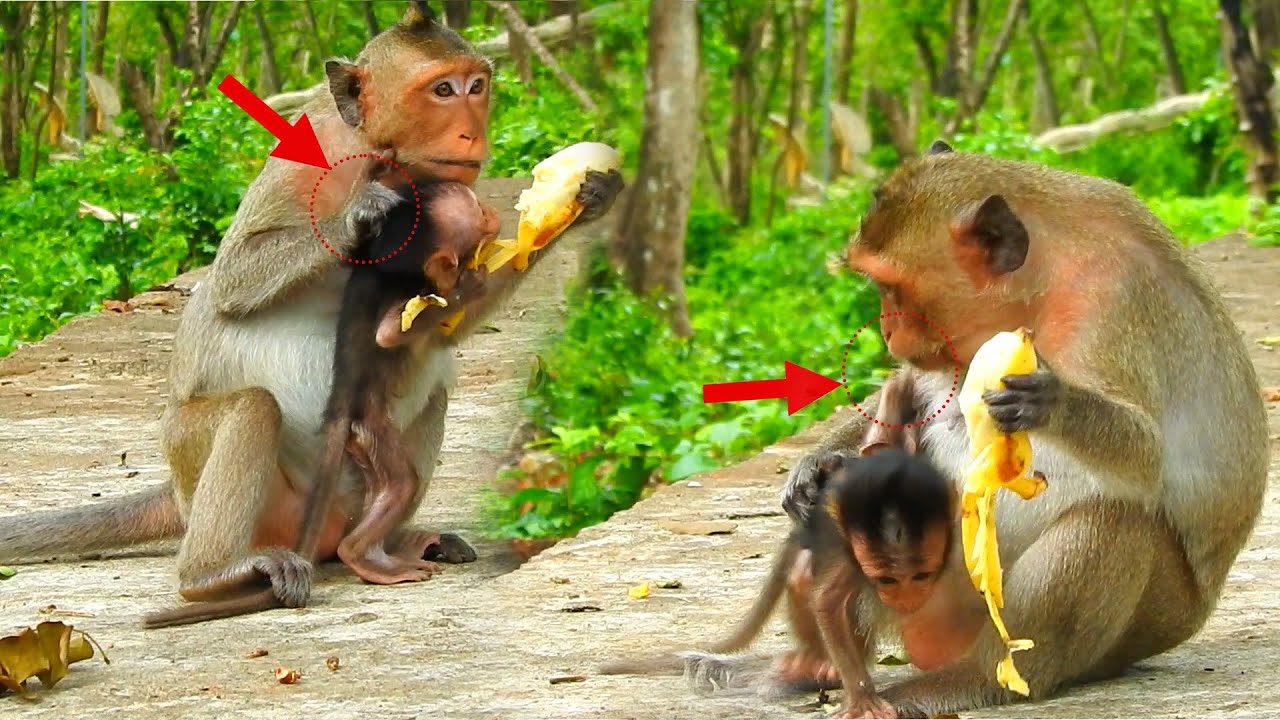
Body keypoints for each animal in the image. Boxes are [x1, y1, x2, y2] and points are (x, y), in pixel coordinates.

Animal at [0, 6, 626, 623]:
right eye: (443, 90)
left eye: (477, 86)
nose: (474, 128)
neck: (376, 148)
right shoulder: (305, 154)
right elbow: (233, 278)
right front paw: (361, 211)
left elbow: (438, 329)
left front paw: (589, 199)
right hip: (222, 478)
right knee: (251, 409)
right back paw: (213, 576)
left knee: (431, 398)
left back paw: (386, 546)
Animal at [776, 140, 1269, 716]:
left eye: (890, 288)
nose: (887, 330)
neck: (1047, 278)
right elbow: (912, 390)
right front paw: (817, 464)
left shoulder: (1113, 306)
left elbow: (1147, 459)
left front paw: (1050, 402)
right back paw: (823, 663)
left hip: (1137, 618)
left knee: (1115, 516)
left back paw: (975, 679)